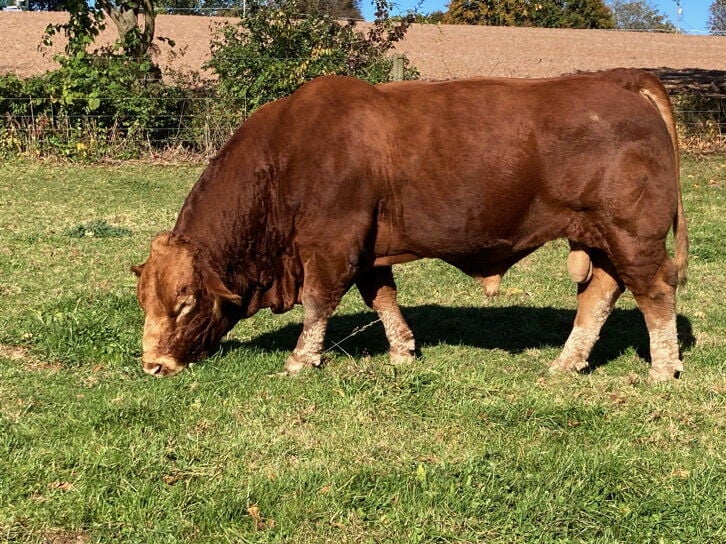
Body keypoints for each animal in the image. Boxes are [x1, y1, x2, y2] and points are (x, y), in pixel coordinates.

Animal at [132, 69, 688, 382]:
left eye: (185, 303)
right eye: (144, 301)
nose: (154, 365)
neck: (286, 152)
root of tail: (619, 80)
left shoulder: (330, 243)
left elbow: (318, 302)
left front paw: (300, 361)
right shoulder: (366, 249)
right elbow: (381, 297)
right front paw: (402, 350)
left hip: (632, 234)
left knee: (655, 292)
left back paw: (663, 369)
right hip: (599, 237)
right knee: (600, 294)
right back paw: (566, 364)